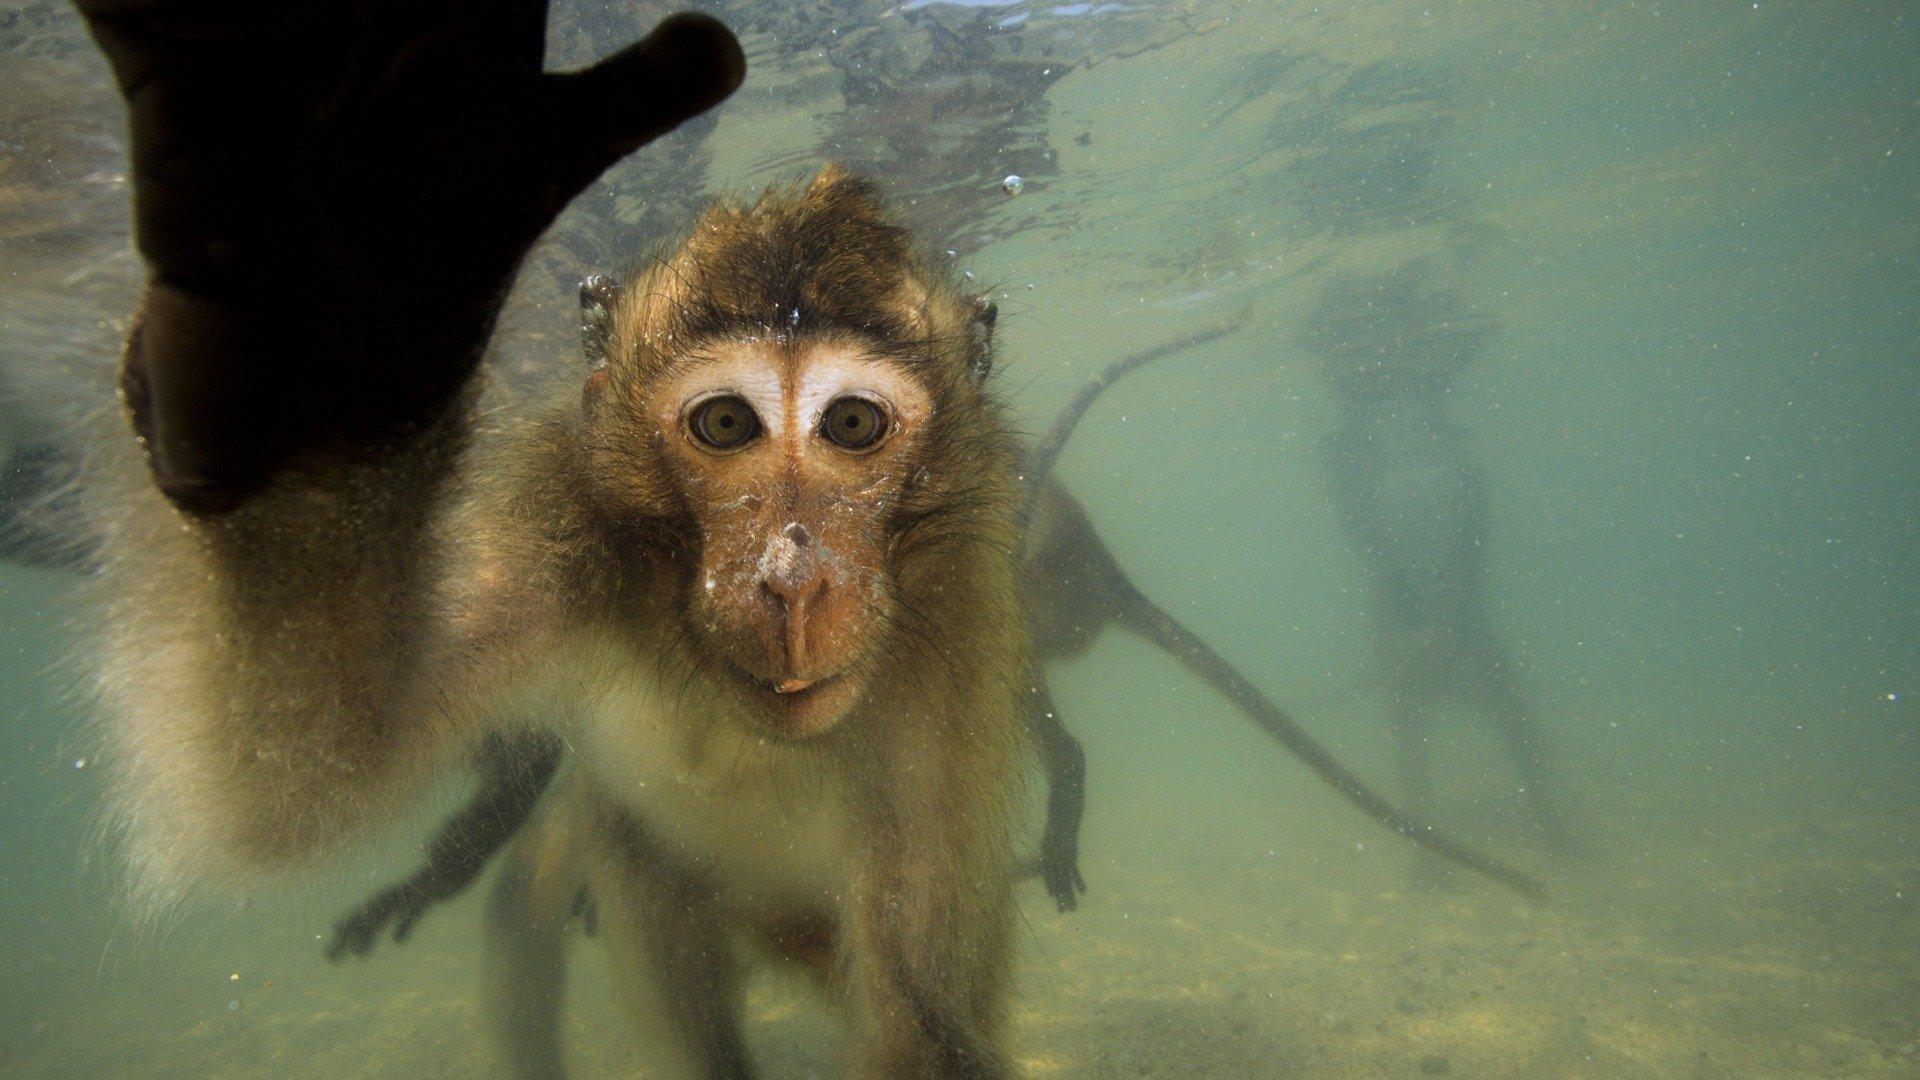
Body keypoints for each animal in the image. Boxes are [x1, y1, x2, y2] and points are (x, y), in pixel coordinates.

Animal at [89, 166, 1029, 1078]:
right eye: (727, 423)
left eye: (853, 423)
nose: (793, 584)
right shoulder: (555, 517)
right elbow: (299, 778)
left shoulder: (954, 639)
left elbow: (921, 1023)